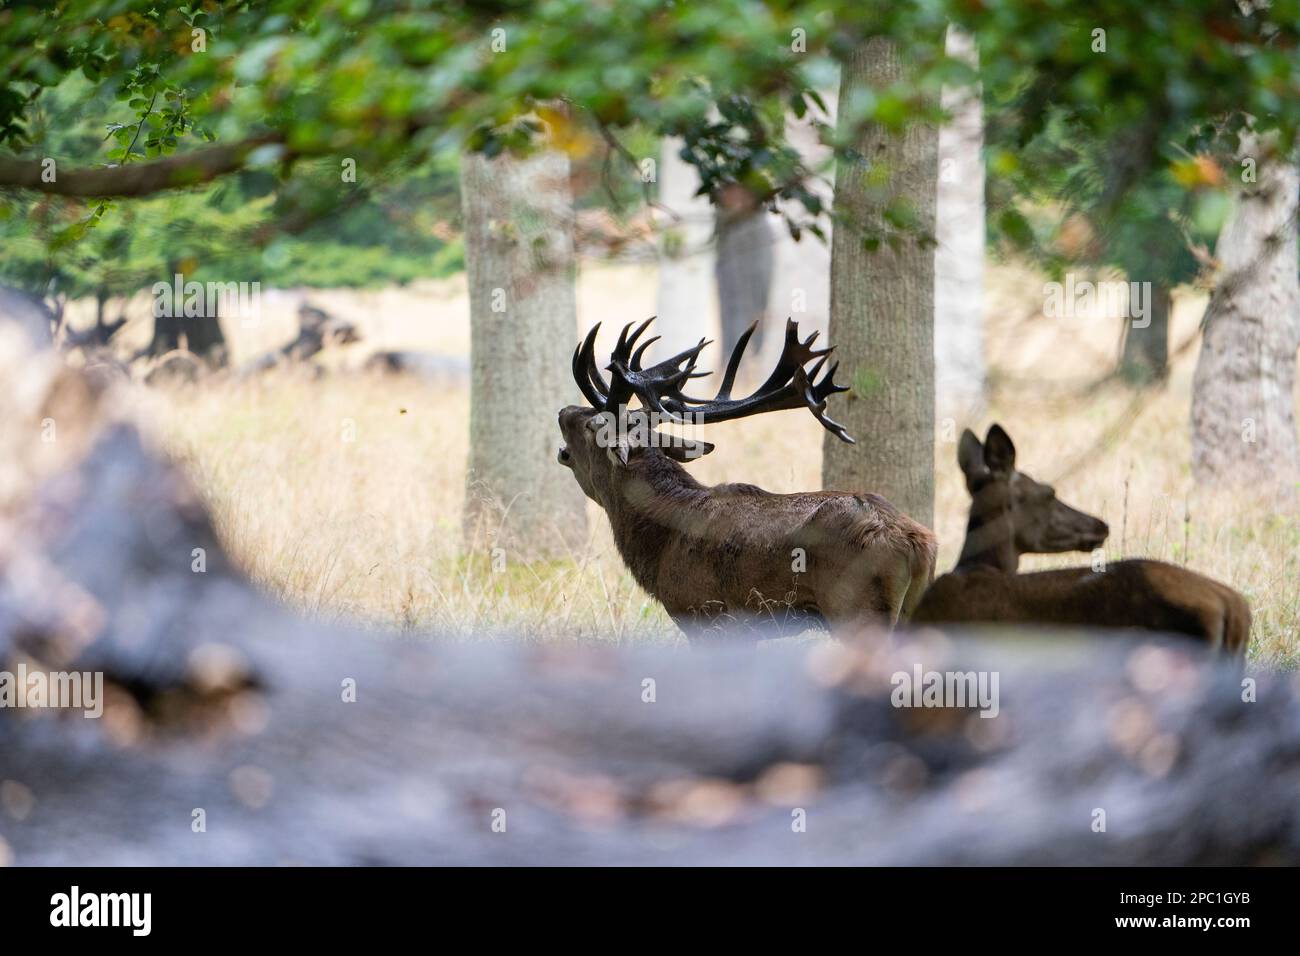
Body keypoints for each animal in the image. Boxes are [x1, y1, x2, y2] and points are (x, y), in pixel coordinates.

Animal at [556, 317, 937, 640]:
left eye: (593, 425)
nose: (563, 410)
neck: (662, 544)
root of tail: (917, 544)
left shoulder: (706, 613)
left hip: (856, 609)